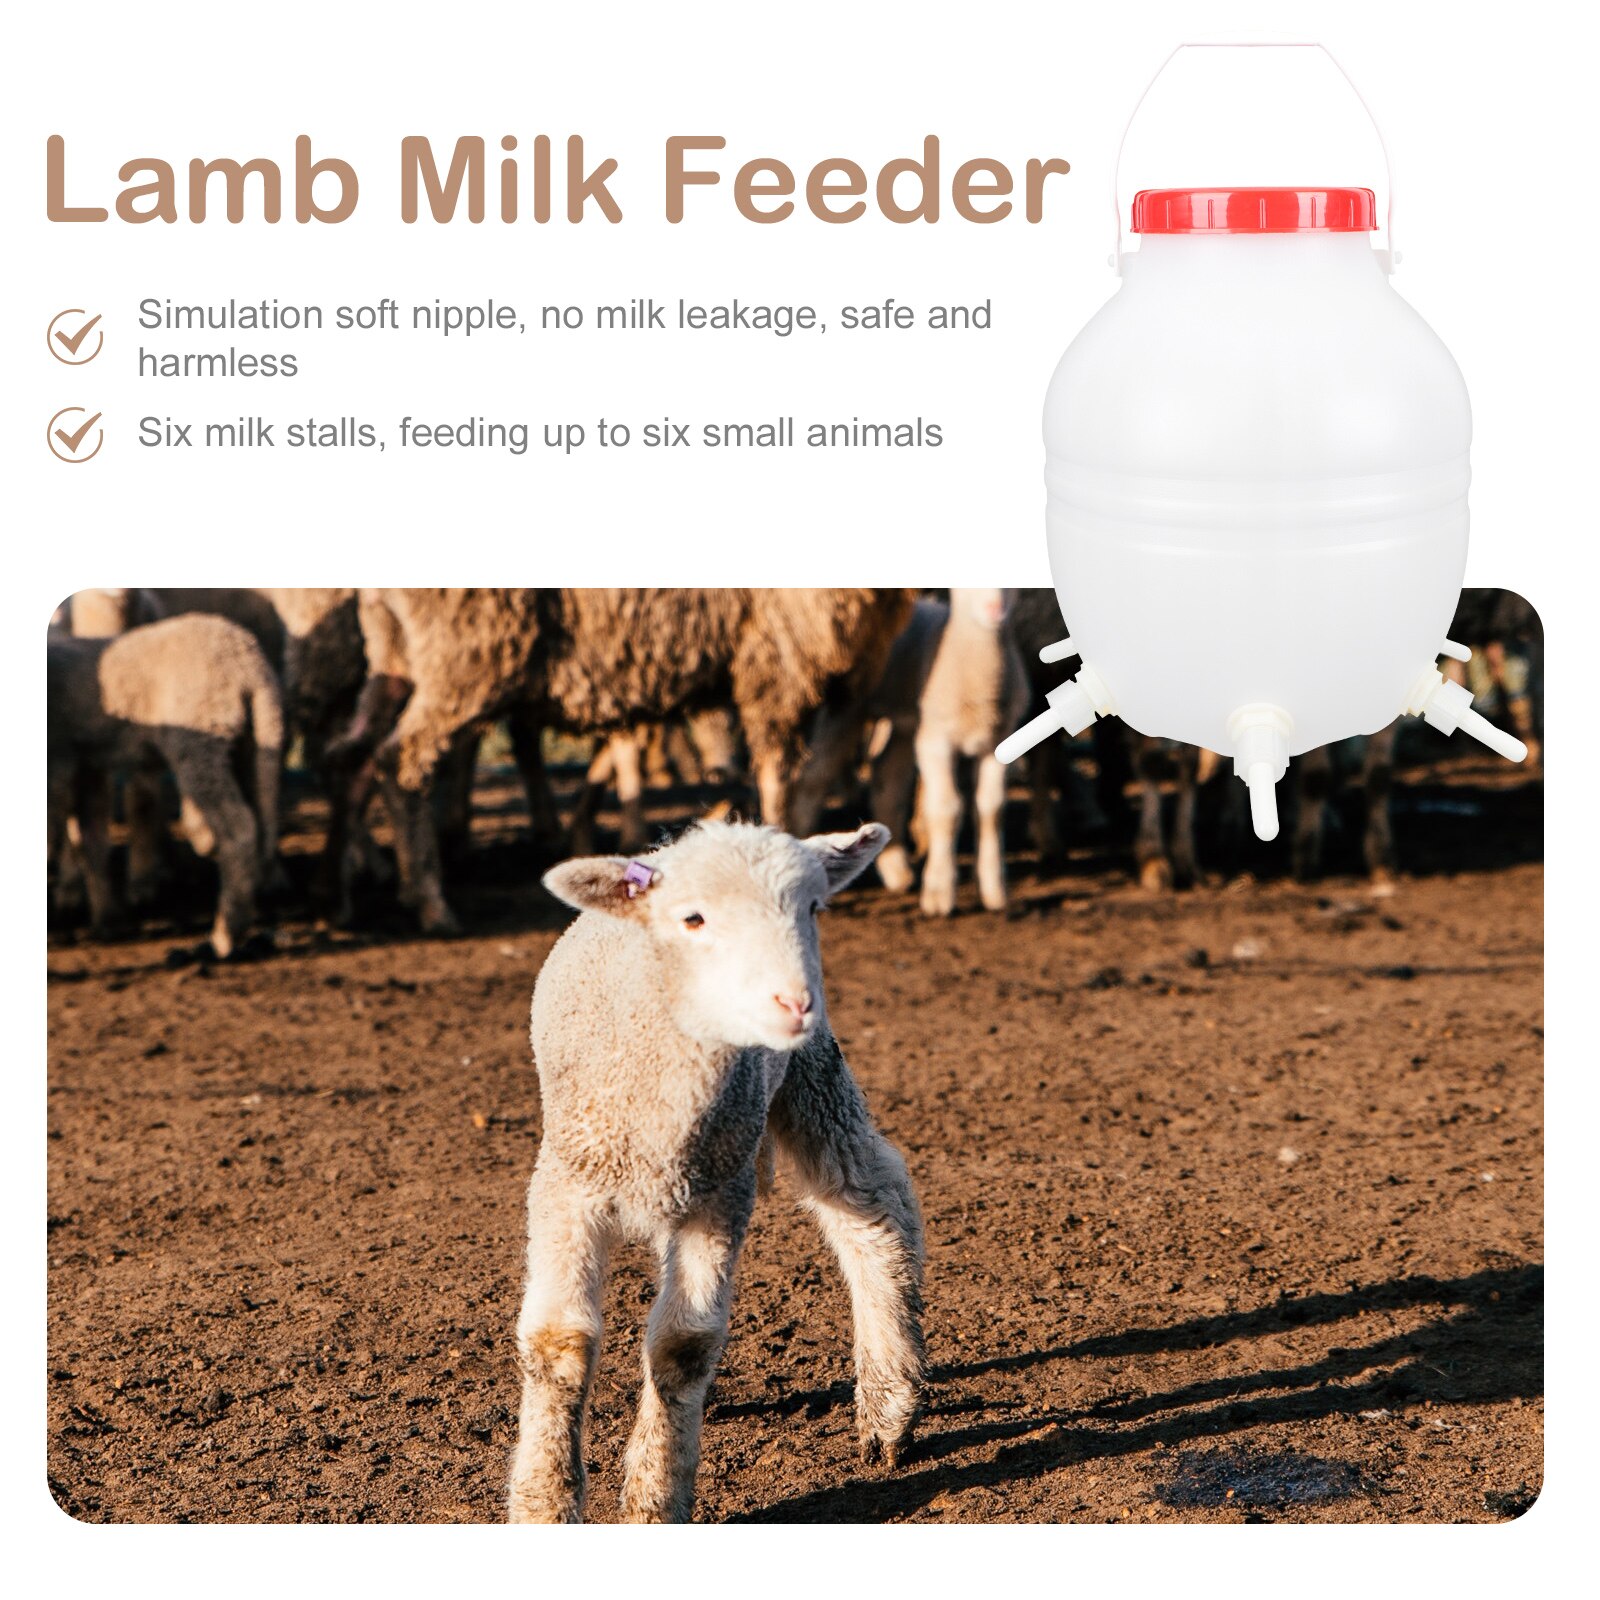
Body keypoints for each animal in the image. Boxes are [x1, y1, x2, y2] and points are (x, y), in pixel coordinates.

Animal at [48, 615, 283, 958]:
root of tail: (250, 664)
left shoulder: (59, 759)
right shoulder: (87, 763)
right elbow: (89, 840)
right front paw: (109, 921)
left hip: (201, 732)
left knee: (239, 828)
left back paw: (226, 934)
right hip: (250, 741)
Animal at [344, 589, 912, 934]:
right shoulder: (777, 656)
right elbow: (781, 773)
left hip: (398, 656)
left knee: (361, 754)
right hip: (466, 657)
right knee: (403, 761)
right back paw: (430, 900)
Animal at [508, 819, 924, 1523]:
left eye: (813, 908)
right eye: (693, 919)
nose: (794, 1003)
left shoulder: (719, 1198)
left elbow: (684, 1344)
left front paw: (653, 1500)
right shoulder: (567, 1184)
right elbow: (561, 1342)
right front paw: (545, 1504)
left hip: (808, 1074)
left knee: (872, 1203)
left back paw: (889, 1403)